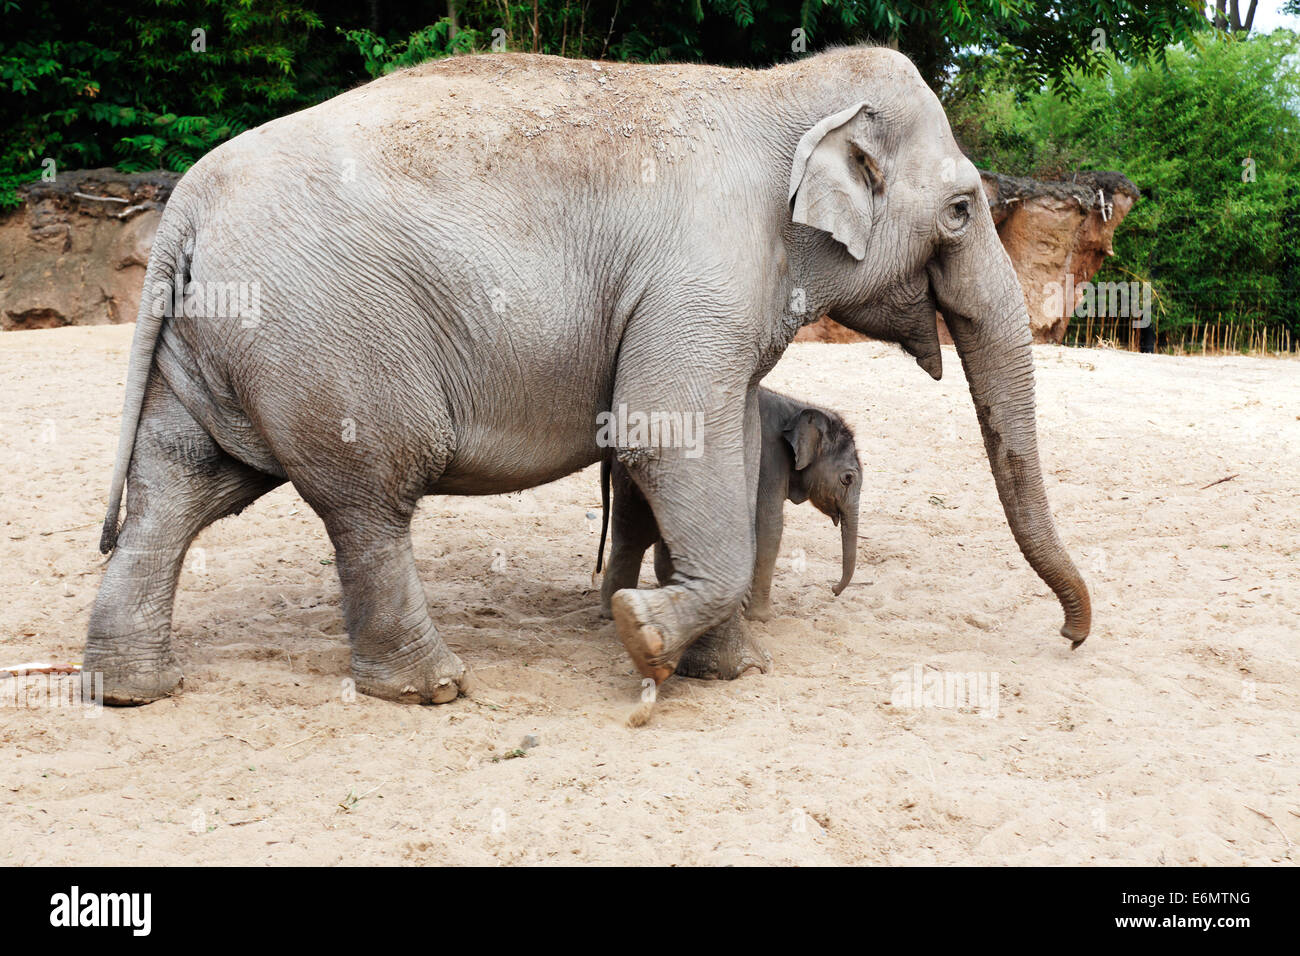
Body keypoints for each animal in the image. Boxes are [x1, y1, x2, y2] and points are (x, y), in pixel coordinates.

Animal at [596, 387, 861, 624]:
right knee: (639, 533)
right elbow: (769, 524)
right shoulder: (769, 459)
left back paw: (619, 609)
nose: (833, 589)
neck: (797, 407)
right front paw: (759, 618)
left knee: (631, 534)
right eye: (848, 478)